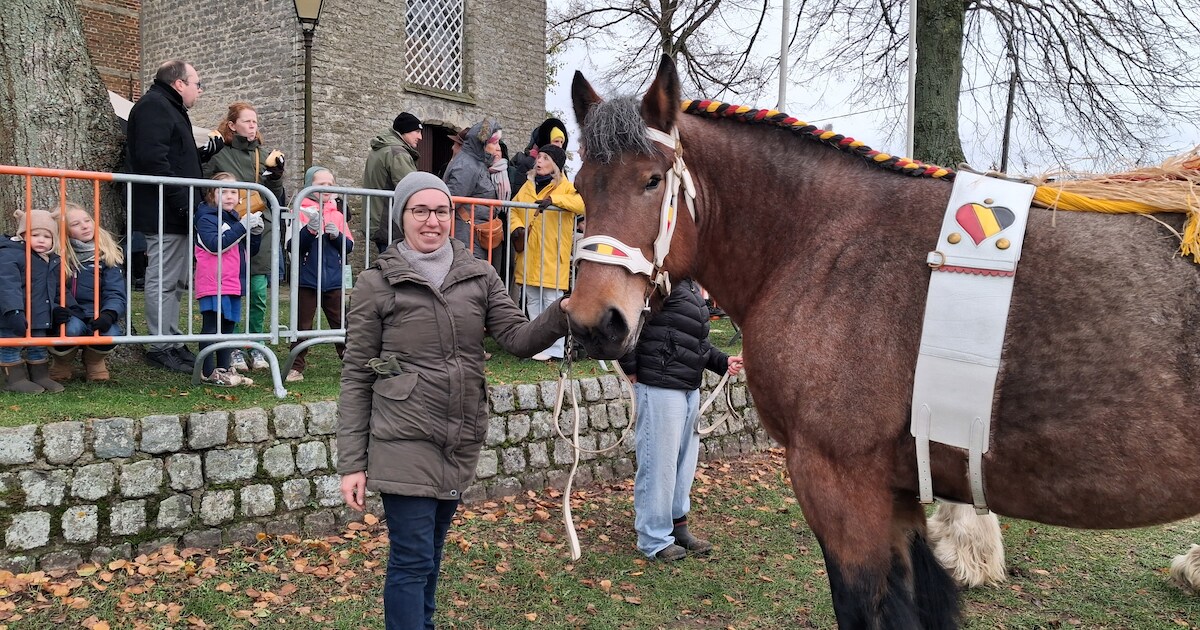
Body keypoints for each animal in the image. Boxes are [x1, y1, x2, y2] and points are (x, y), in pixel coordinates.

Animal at [563, 55, 1200, 628]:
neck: (824, 243)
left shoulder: (842, 485)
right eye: (582, 187)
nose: (596, 322)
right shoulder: (897, 491)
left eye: (652, 179)